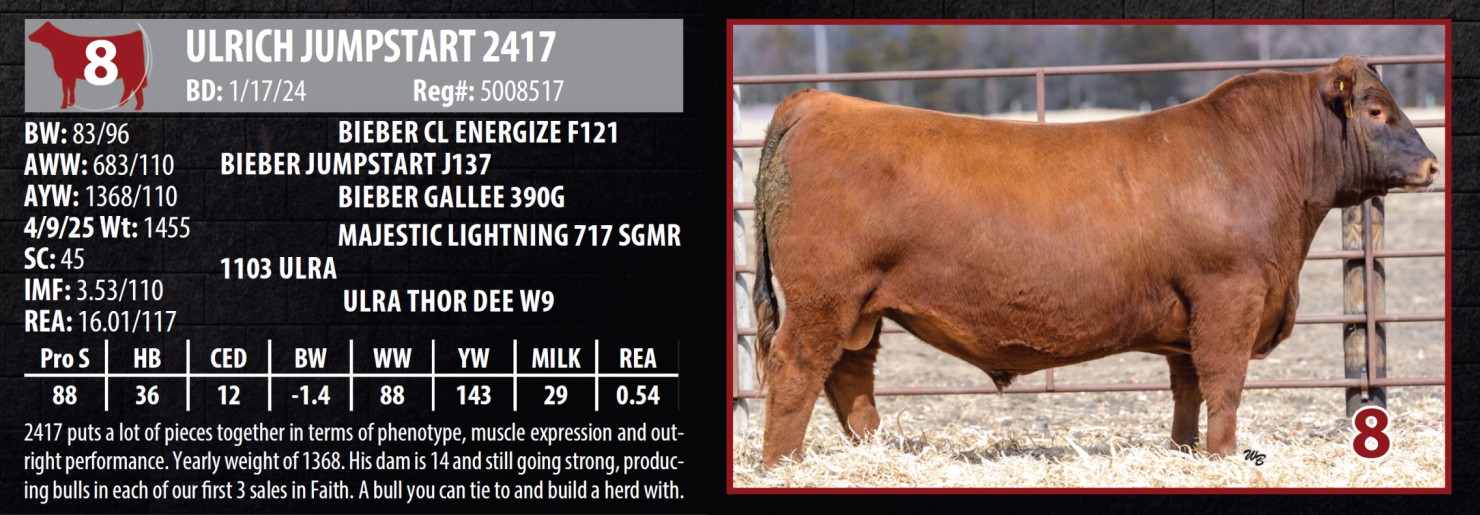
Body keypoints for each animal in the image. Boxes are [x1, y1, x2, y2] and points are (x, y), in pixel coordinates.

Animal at [750, 55, 1438, 467]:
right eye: (1376, 110)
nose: (1432, 165)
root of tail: (816, 102)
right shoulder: (1228, 296)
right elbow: (1225, 383)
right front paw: (1222, 457)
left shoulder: (1189, 317)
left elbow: (1188, 388)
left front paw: (1185, 453)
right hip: (823, 297)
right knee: (797, 368)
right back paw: (782, 464)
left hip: (861, 308)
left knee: (849, 376)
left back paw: (878, 454)